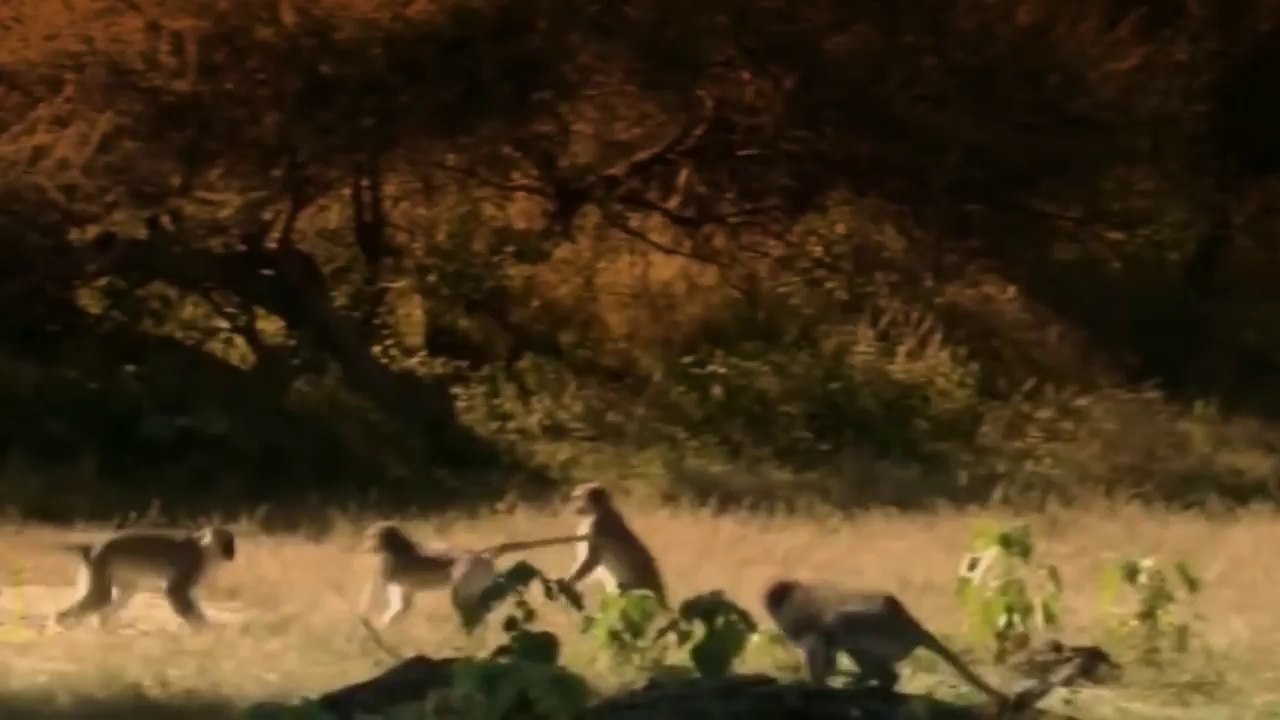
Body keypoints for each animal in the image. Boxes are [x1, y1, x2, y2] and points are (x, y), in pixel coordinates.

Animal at [52, 526, 237, 630]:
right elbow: (174, 591)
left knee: (119, 595)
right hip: (101, 563)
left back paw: (103, 627)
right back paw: (61, 622)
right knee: (100, 597)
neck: (204, 549)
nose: (232, 553)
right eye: (228, 543)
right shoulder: (191, 562)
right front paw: (204, 628)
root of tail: (93, 548)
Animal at [358, 522, 591, 627]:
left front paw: (374, 622)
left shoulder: (390, 574)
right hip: (482, 582)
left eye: (371, 536)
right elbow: (400, 605)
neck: (395, 546)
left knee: (470, 605)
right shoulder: (403, 588)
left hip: (464, 585)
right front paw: (383, 624)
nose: (363, 545)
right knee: (495, 593)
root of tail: (480, 554)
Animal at [762, 579, 1011, 709]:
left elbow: (819, 639)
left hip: (887, 630)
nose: (772, 611)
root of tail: (909, 621)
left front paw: (813, 686)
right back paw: (885, 683)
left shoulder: (795, 617)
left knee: (841, 624)